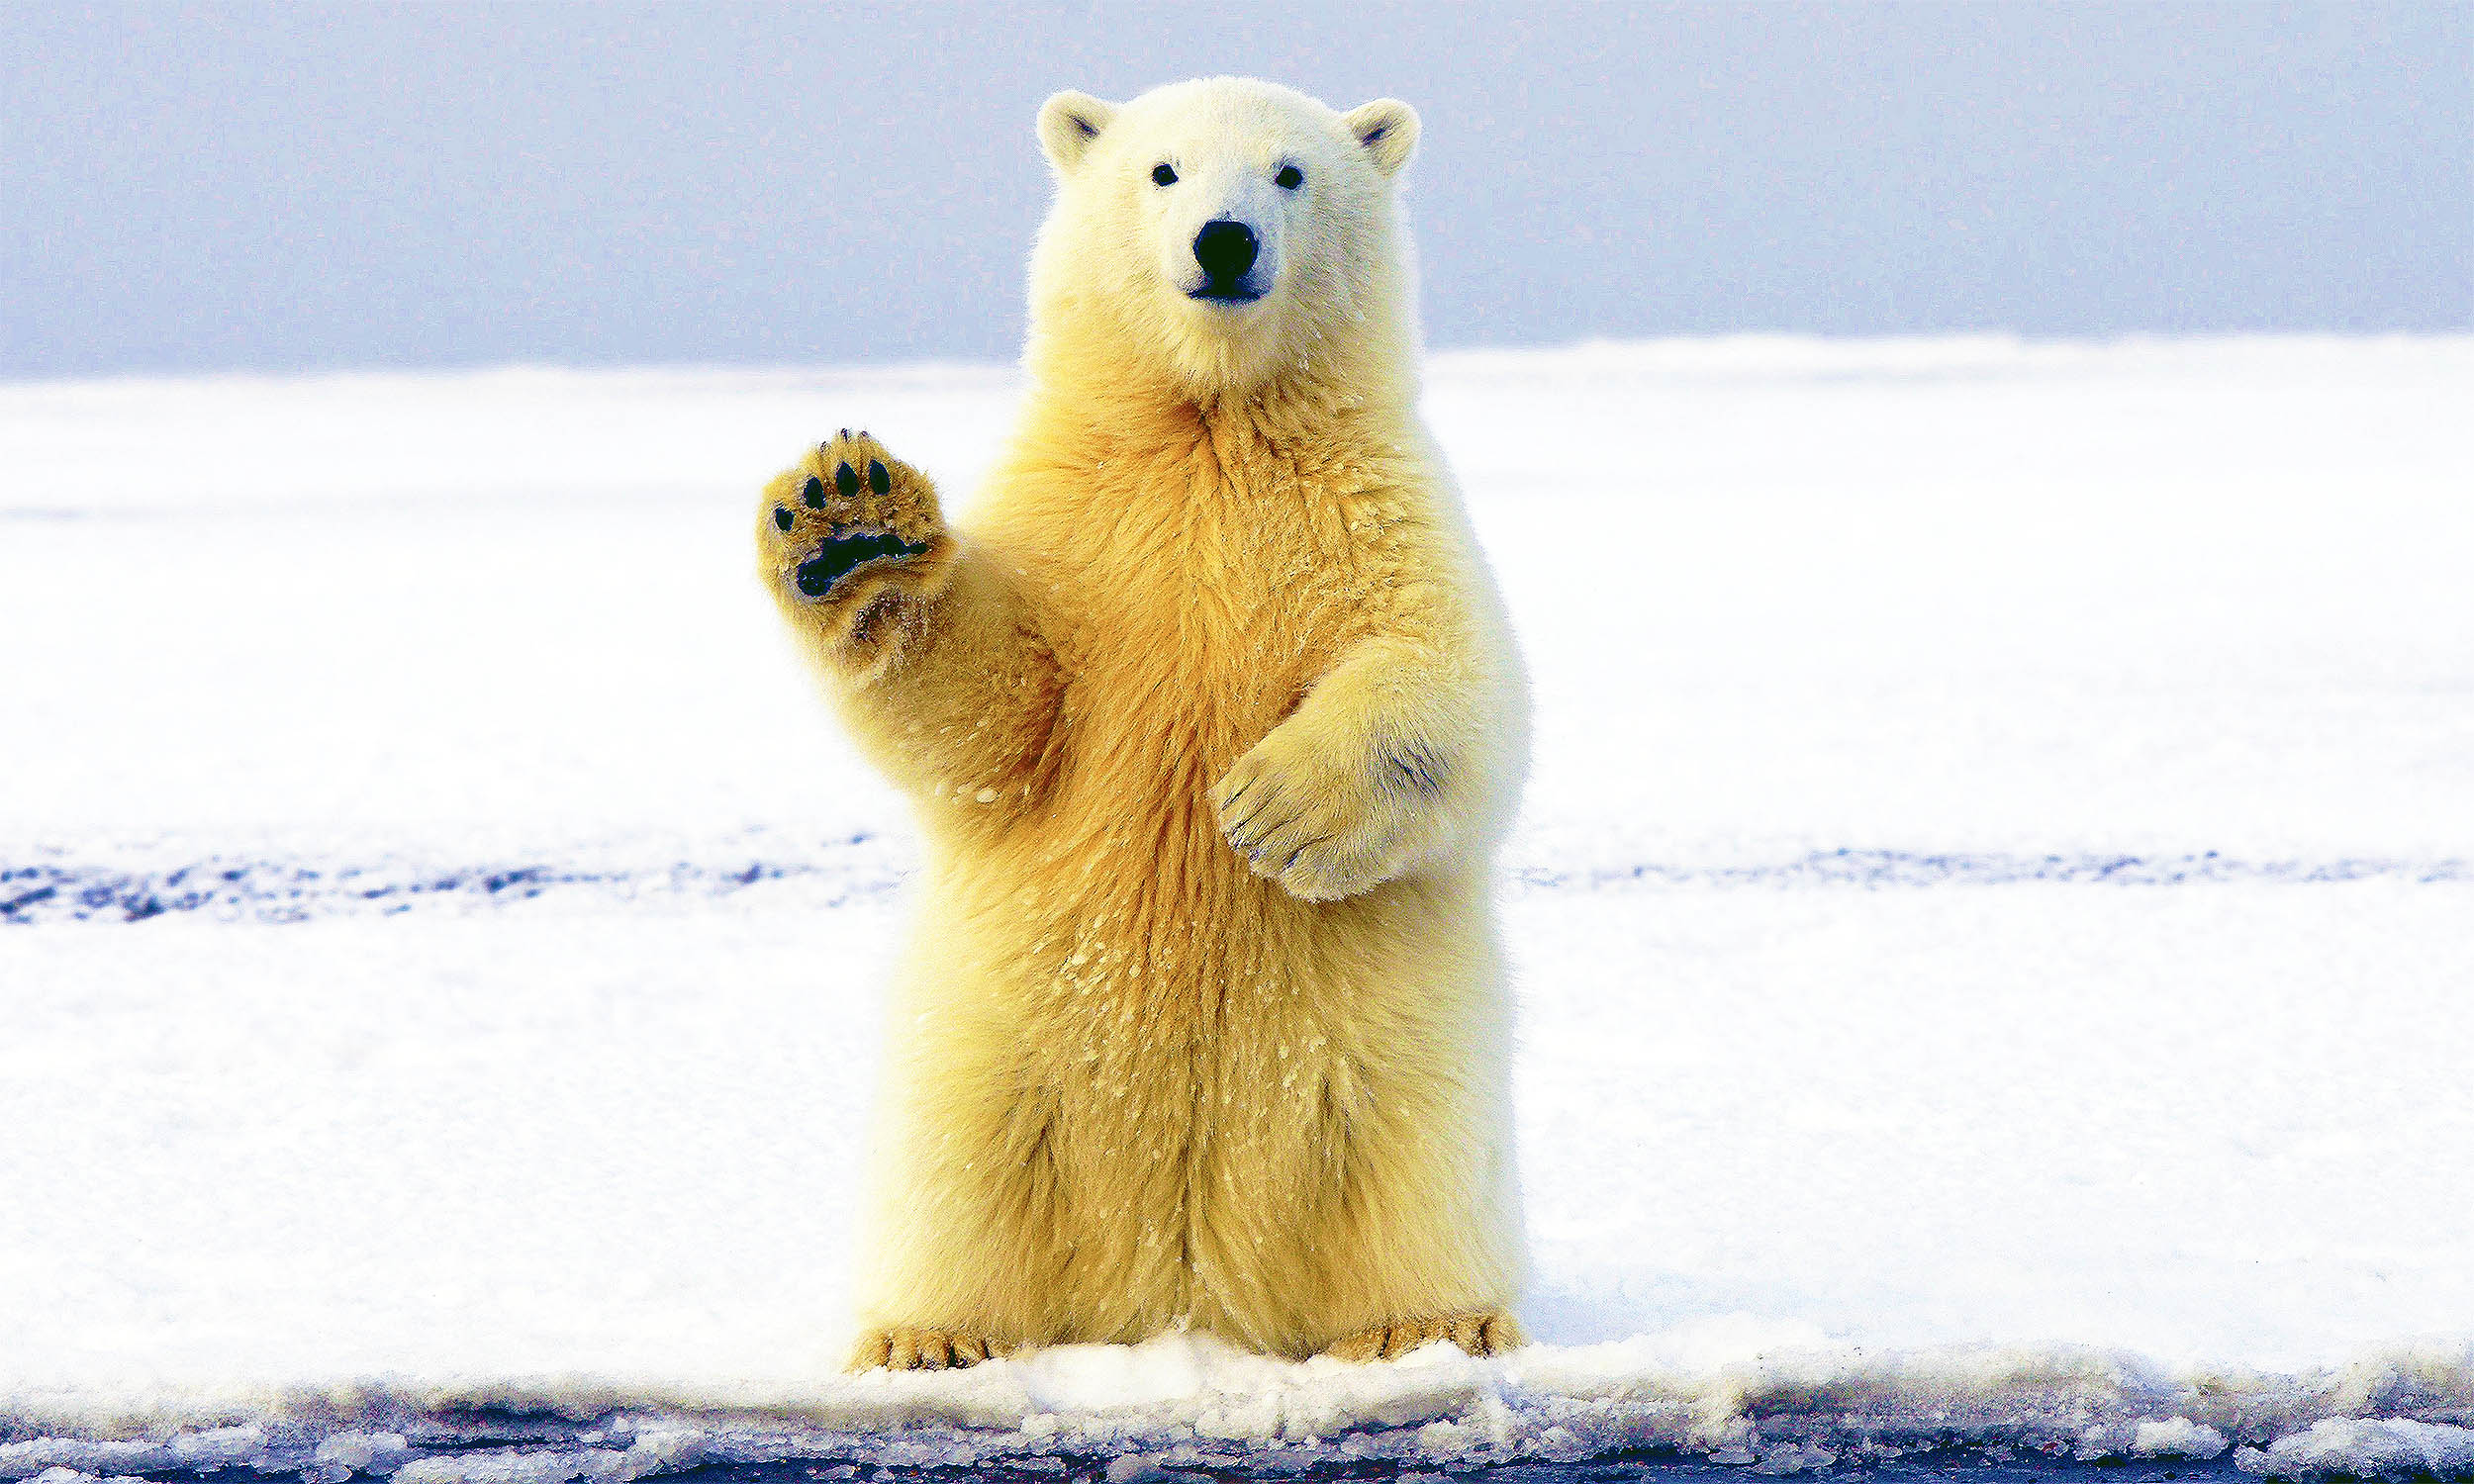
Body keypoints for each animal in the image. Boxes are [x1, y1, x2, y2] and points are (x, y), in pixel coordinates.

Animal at [754, 77, 1530, 1370]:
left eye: (1289, 173)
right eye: (1162, 171)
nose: (1223, 241)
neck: (1209, 425)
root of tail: (1180, 1292)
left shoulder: (1377, 510)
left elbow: (1452, 685)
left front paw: (1271, 810)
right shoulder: (1077, 525)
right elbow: (993, 718)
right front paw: (849, 521)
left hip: (1390, 1053)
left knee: (1406, 1164)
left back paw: (1431, 1323)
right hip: (995, 1049)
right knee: (961, 1177)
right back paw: (928, 1337)